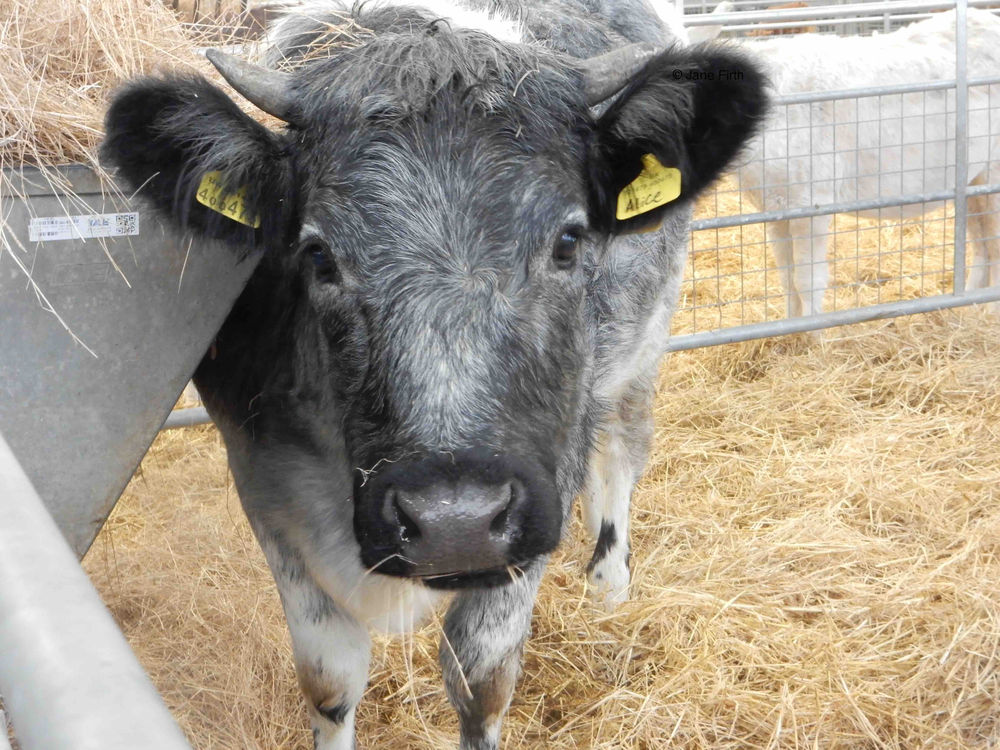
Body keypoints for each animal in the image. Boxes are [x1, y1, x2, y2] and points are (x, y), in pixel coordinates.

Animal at [101, 1, 765, 747]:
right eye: (317, 254)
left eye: (569, 240)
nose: (456, 522)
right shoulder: (262, 481)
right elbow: (330, 679)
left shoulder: (543, 477)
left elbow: (481, 679)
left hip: (639, 354)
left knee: (622, 450)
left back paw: (609, 584)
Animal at [732, 8, 1000, 318]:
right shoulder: (775, 208)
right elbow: (787, 279)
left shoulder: (810, 204)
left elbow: (807, 282)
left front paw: (812, 328)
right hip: (973, 181)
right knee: (982, 245)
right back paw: (969, 310)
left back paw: (990, 313)